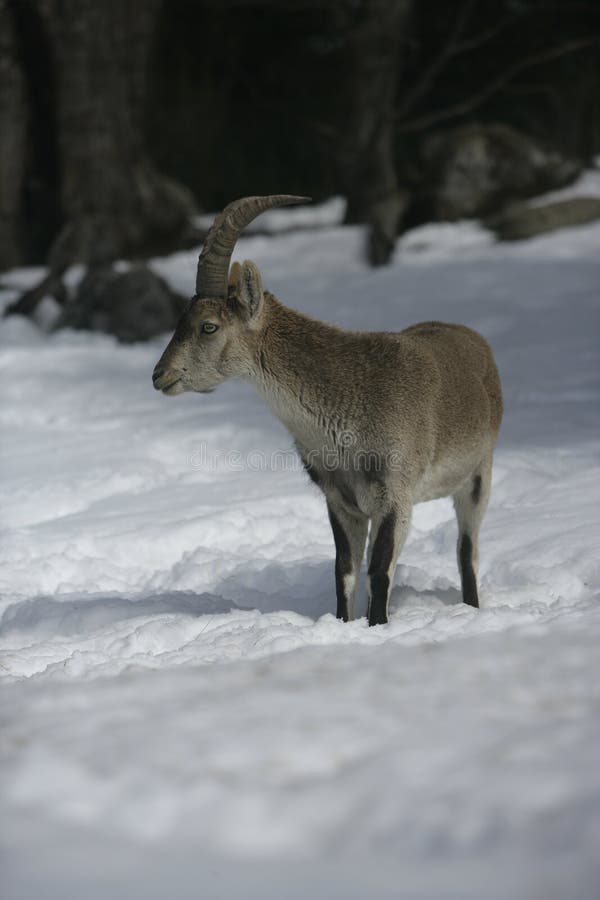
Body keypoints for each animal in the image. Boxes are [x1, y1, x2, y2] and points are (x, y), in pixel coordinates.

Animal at [153, 196, 503, 625]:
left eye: (208, 326)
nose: (160, 375)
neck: (345, 415)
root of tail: (475, 341)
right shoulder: (341, 501)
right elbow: (345, 571)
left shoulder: (396, 496)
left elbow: (378, 572)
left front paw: (378, 626)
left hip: (478, 478)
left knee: (467, 552)